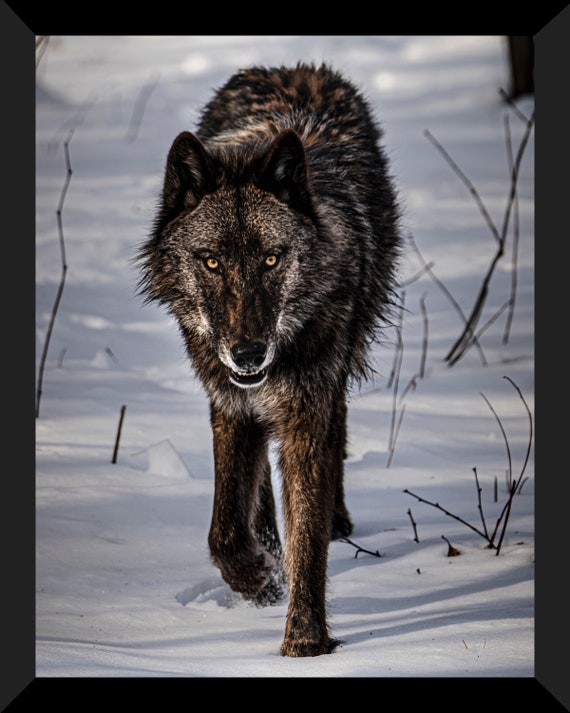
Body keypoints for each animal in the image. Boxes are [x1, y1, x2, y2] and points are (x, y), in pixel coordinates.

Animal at [138, 63, 401, 657]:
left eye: (272, 259)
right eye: (211, 261)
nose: (248, 352)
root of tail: (293, 68)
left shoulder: (306, 411)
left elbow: (308, 535)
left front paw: (304, 640)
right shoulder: (230, 403)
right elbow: (224, 530)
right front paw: (260, 579)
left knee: (337, 429)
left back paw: (335, 522)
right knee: (254, 493)